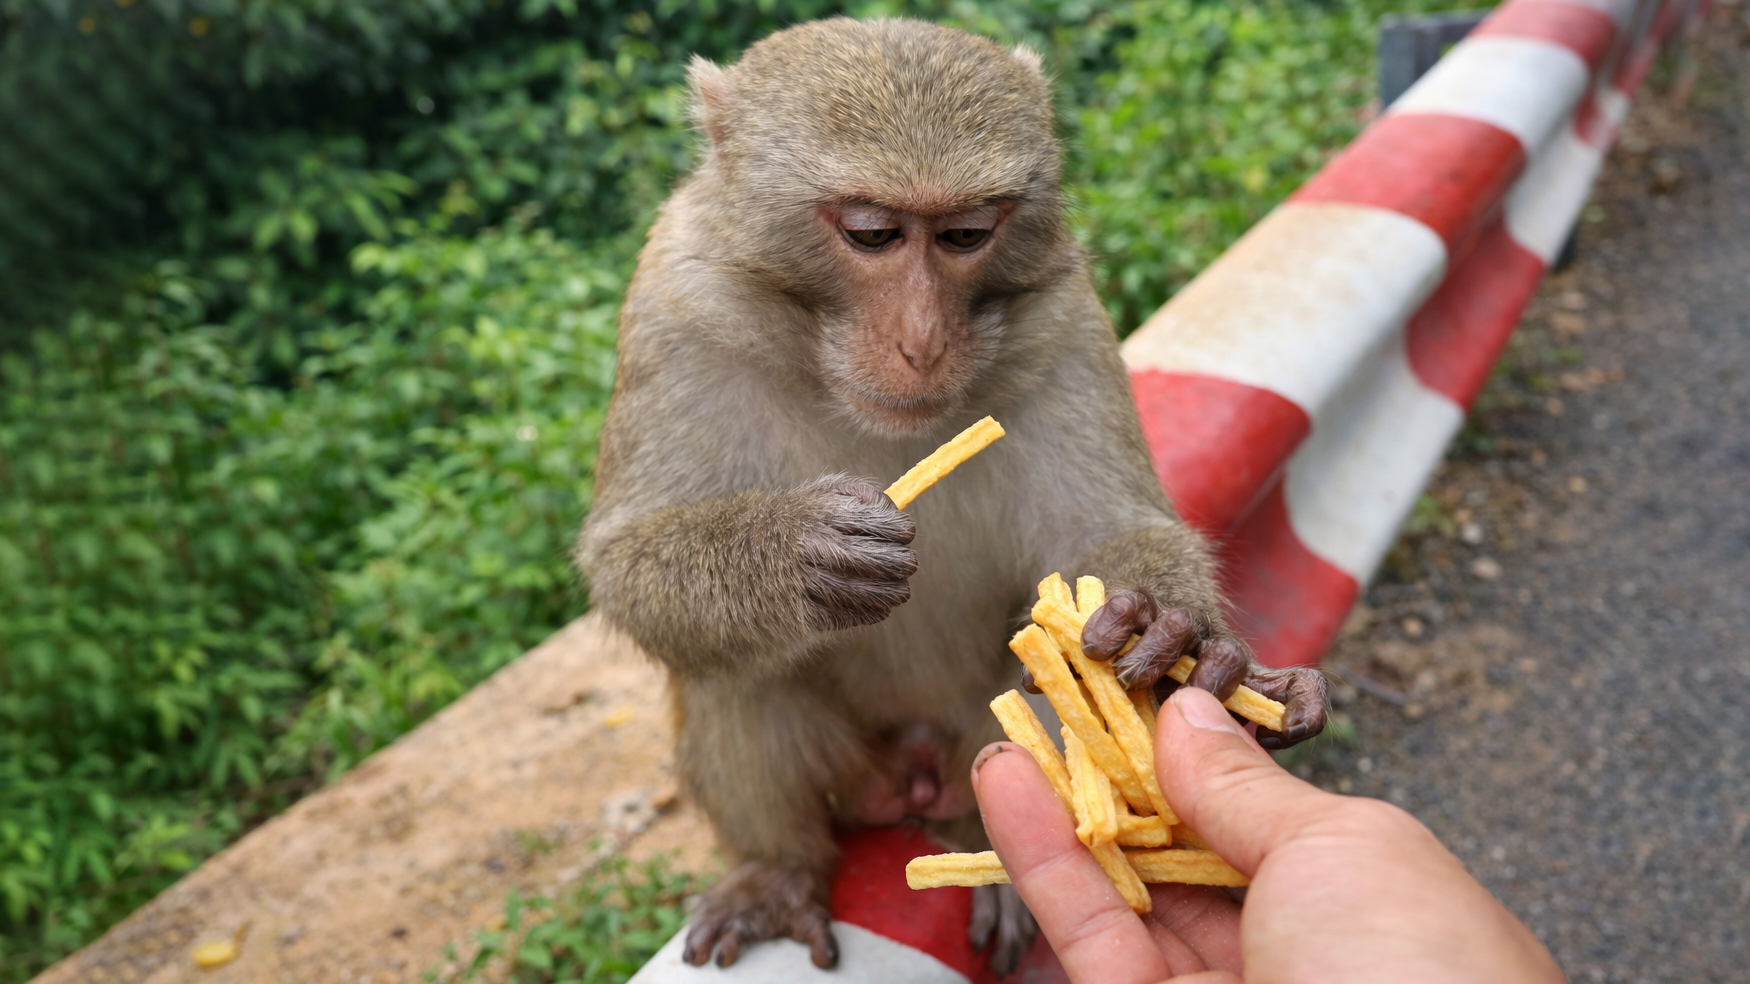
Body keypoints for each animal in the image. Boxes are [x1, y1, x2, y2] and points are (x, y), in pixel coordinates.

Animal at [575, 18, 1328, 975]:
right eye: (872, 234)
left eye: (966, 234)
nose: (923, 342)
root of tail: (917, 773)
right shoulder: (674, 305)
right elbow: (625, 561)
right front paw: (799, 553)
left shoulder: (1064, 313)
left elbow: (1103, 527)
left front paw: (1163, 623)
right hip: (856, 774)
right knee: (733, 674)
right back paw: (777, 872)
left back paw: (989, 853)